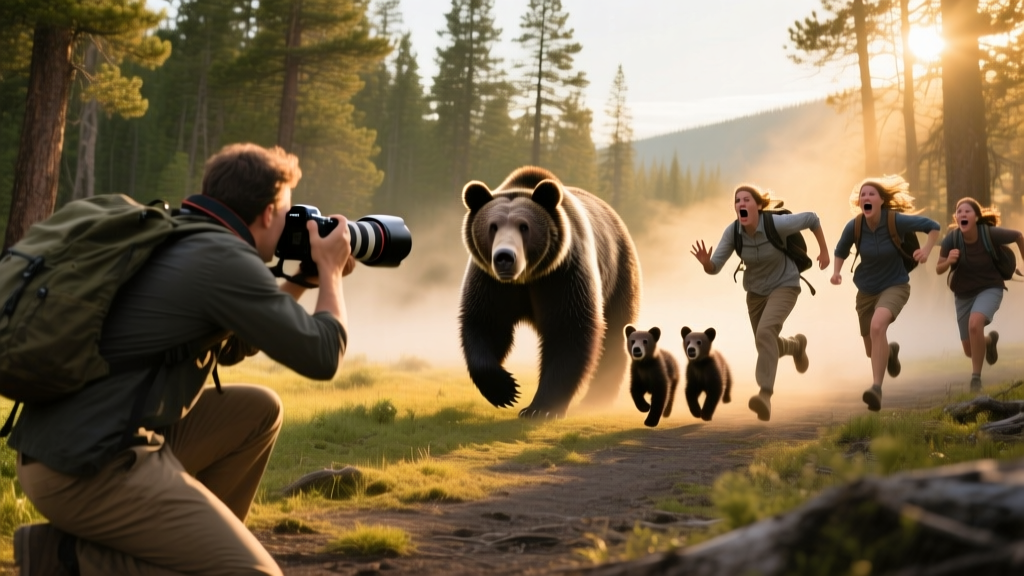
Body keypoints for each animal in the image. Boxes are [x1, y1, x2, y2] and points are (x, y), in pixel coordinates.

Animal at [459, 166, 641, 418]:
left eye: (524, 226)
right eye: (492, 226)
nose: (504, 257)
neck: (526, 277)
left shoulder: (563, 275)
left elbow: (568, 331)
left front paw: (540, 408)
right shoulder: (490, 281)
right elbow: (486, 323)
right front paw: (505, 389)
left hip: (619, 276)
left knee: (614, 335)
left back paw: (597, 399)